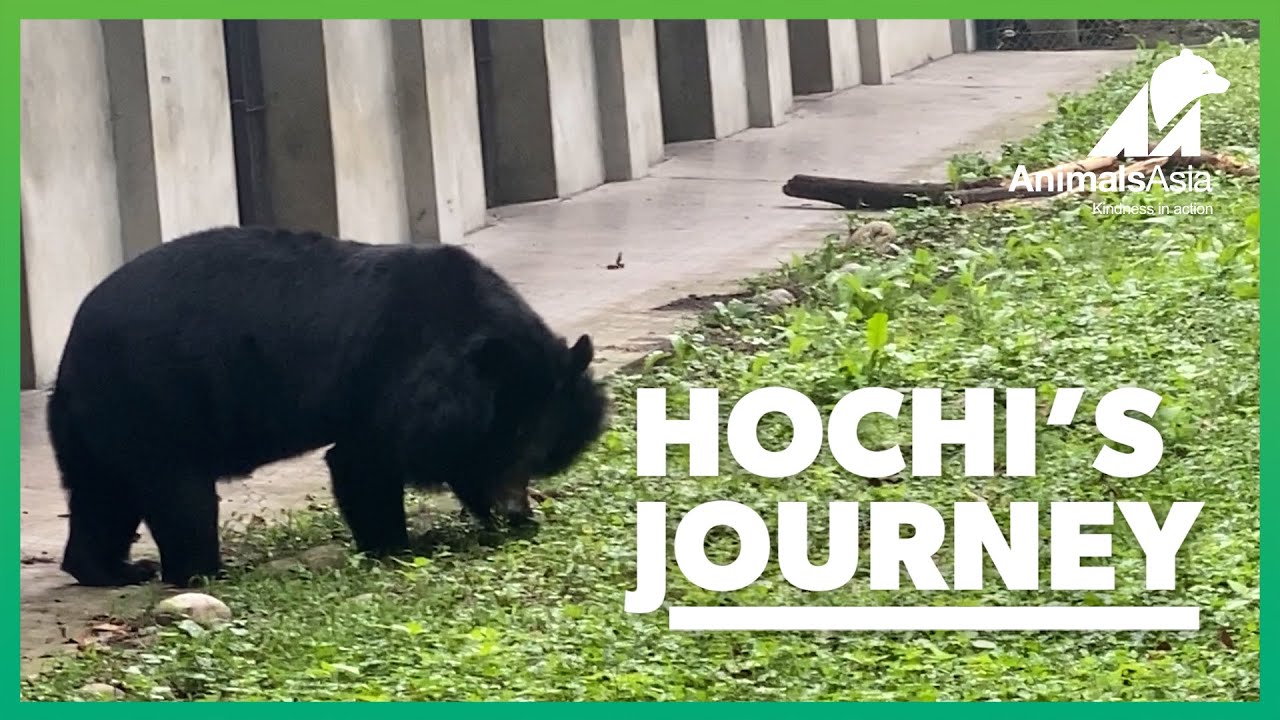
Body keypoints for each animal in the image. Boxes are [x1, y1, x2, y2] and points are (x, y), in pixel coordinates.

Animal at [47, 225, 609, 588]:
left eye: (542, 450)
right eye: (514, 441)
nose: (516, 510)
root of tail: (73, 351)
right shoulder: (392, 374)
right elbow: (365, 461)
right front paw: (396, 545)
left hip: (100, 422)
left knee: (103, 495)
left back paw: (110, 570)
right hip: (159, 400)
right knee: (178, 494)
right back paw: (202, 571)